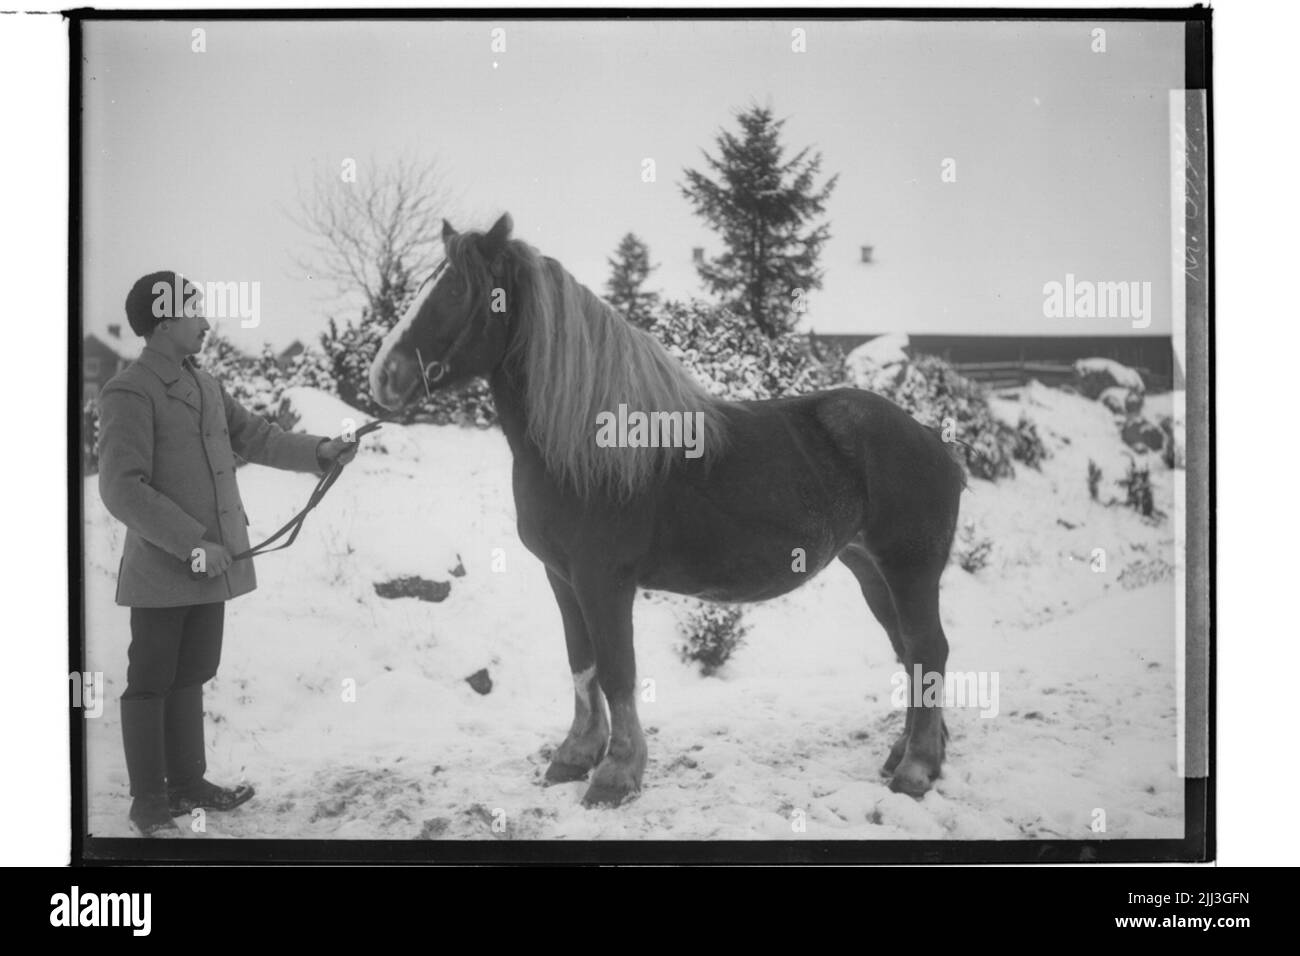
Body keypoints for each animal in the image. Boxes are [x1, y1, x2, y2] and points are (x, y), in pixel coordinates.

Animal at [369, 213, 964, 807]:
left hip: (909, 569)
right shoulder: (562, 578)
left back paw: (915, 769)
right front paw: (576, 755)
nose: (382, 375)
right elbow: (582, 665)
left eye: (454, 291)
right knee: (909, 652)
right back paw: (907, 754)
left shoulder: (603, 581)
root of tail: (929, 436)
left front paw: (616, 774)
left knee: (928, 648)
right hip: (869, 569)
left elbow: (617, 672)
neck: (585, 449)